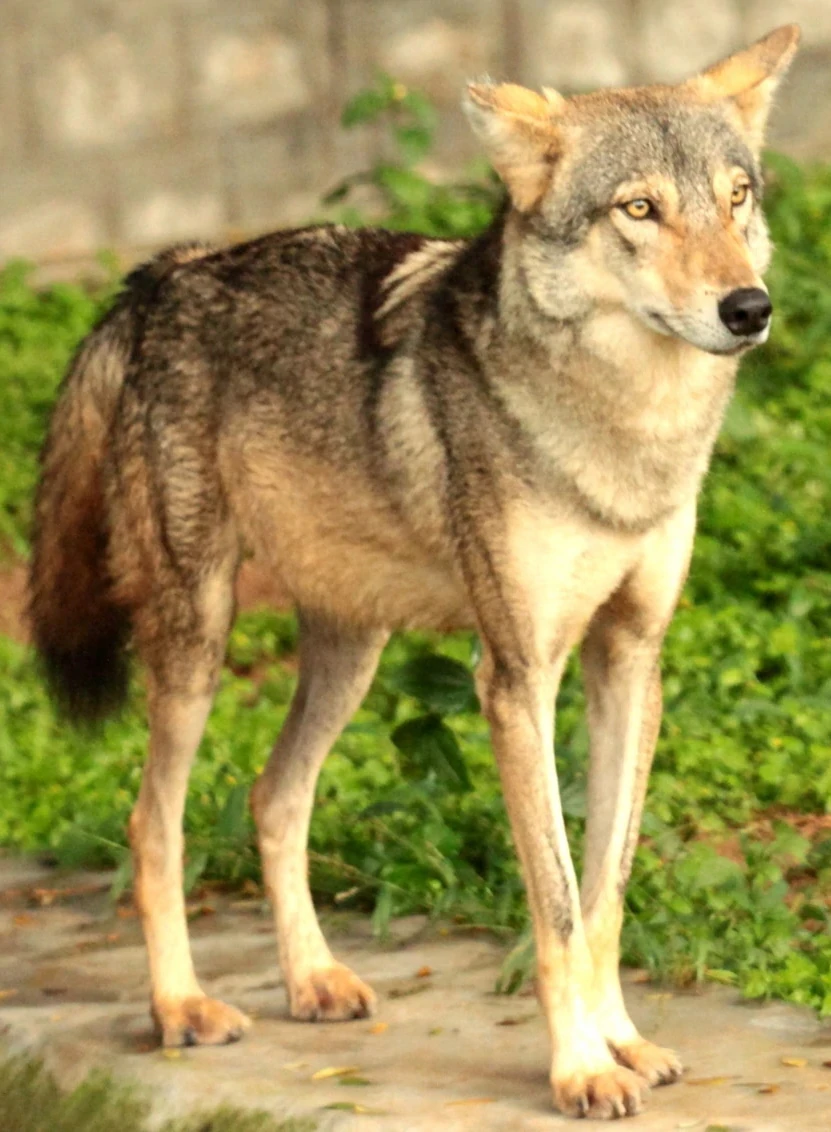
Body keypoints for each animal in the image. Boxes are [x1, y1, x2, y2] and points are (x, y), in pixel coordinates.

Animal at [29, 25, 799, 1119]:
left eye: (735, 197)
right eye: (639, 209)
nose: (748, 307)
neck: (624, 437)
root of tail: (163, 274)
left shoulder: (630, 662)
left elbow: (604, 892)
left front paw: (623, 1041)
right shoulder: (516, 679)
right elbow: (556, 905)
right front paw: (578, 1069)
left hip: (351, 652)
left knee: (273, 797)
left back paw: (312, 979)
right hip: (197, 643)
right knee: (152, 823)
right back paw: (180, 1006)